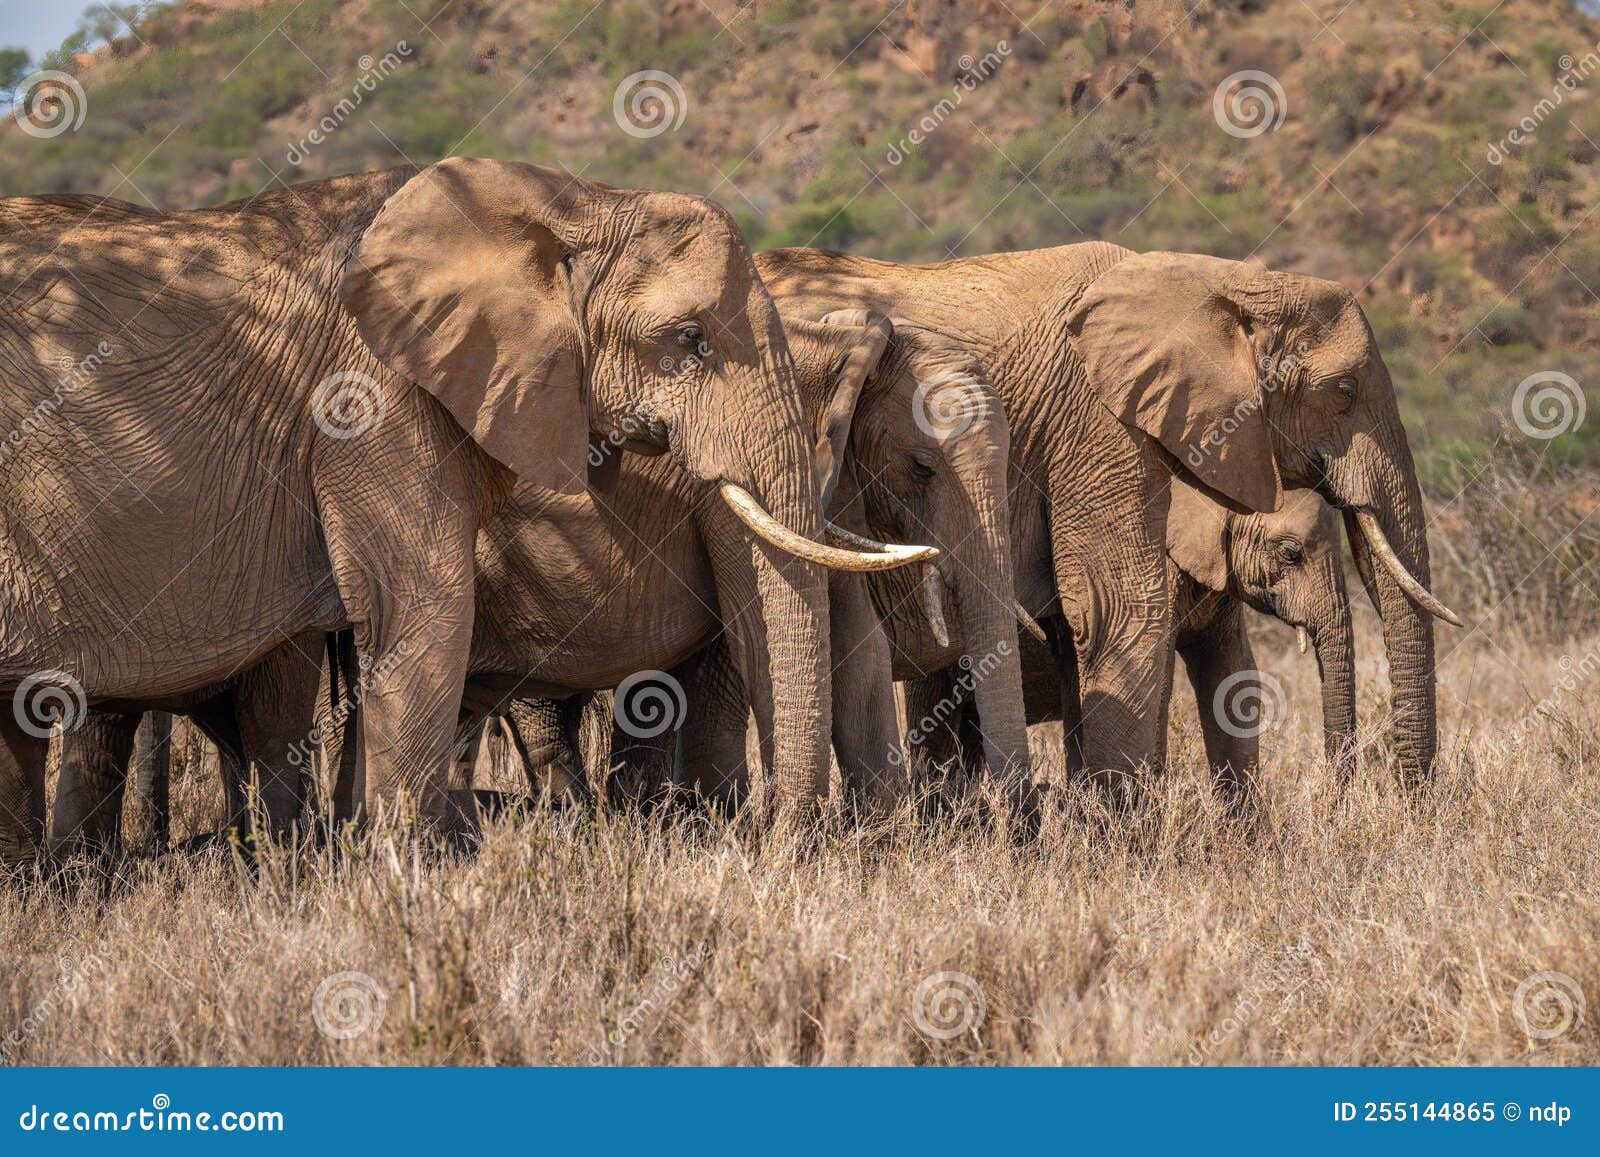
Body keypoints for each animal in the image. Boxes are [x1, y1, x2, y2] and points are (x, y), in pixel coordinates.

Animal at [2, 156, 898, 864]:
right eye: (689, 338)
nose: (777, 843)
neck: (573, 202)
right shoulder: (370, 399)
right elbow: (423, 607)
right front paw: (408, 880)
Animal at [753, 244, 1459, 799]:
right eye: (1343, 392)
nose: (1401, 799)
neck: (1218, 282)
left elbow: (1230, 673)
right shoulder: (1095, 418)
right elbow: (1117, 606)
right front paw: (1126, 850)